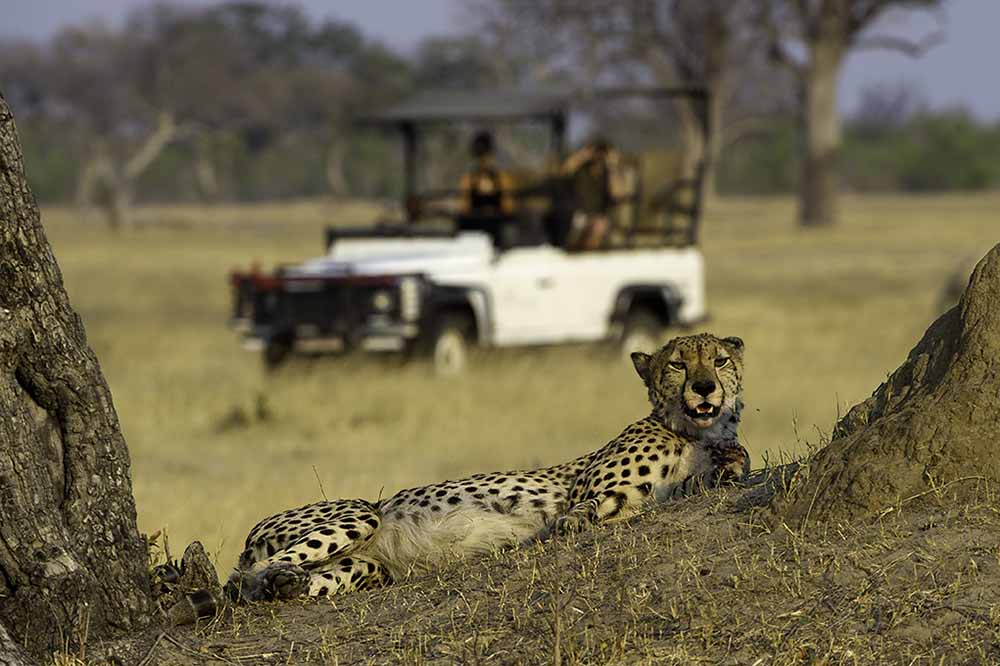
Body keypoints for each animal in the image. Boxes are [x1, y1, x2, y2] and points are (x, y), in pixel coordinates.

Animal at [163, 333, 749, 620]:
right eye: (677, 364)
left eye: (719, 360)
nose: (704, 388)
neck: (693, 432)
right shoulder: (592, 496)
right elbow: (579, 515)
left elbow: (718, 472)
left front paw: (728, 464)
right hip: (361, 512)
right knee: (243, 579)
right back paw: (265, 580)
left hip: (365, 569)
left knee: (284, 582)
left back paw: (286, 586)